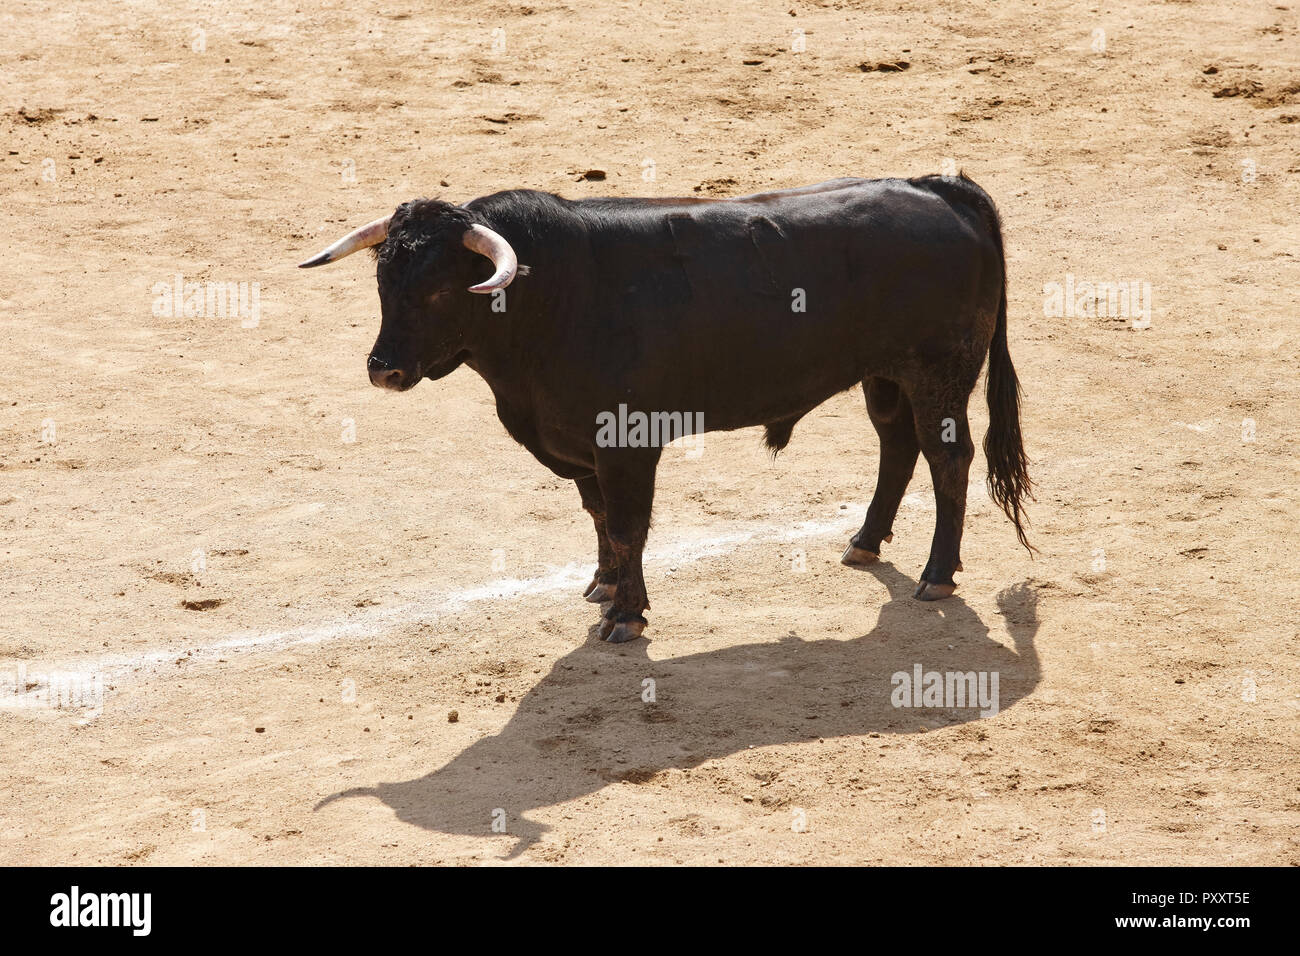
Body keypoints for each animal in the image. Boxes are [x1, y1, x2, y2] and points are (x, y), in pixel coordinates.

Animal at [298, 174, 1033, 643]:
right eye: (384, 283)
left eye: (439, 291)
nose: (384, 370)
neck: (553, 297)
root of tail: (941, 189)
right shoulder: (579, 446)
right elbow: (600, 519)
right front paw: (603, 585)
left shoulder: (627, 443)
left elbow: (628, 525)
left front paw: (626, 616)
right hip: (884, 373)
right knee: (896, 446)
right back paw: (863, 543)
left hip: (939, 372)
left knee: (948, 458)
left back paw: (936, 577)